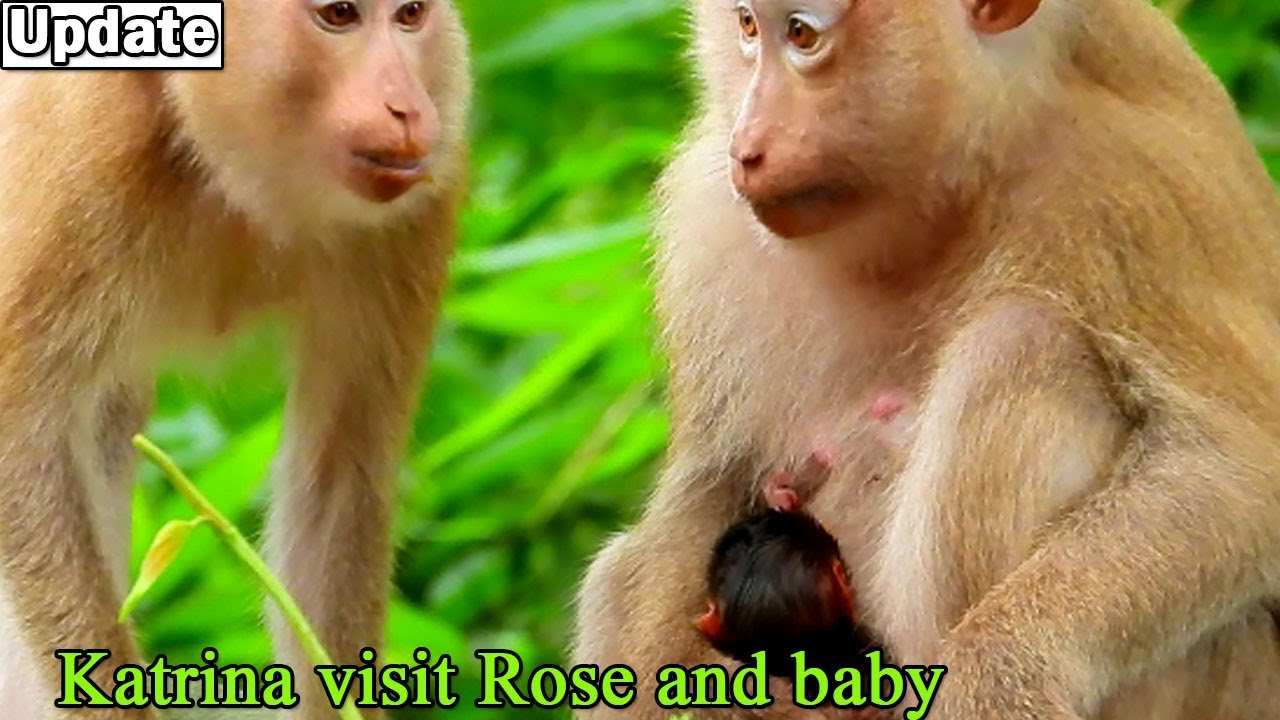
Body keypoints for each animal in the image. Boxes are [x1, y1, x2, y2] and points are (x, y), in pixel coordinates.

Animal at [0, 1, 470, 718]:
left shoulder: (418, 205)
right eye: (339, 15)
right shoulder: (83, 154)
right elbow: (20, 438)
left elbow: (339, 477)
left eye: (410, 15)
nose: (408, 109)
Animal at [573, 0, 1280, 718]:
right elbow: (708, 489)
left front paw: (1004, 667)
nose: (748, 146)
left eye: (802, 34)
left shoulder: (1141, 184)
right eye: (746, 26)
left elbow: (1239, 469)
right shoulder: (709, 217)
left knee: (1017, 341)